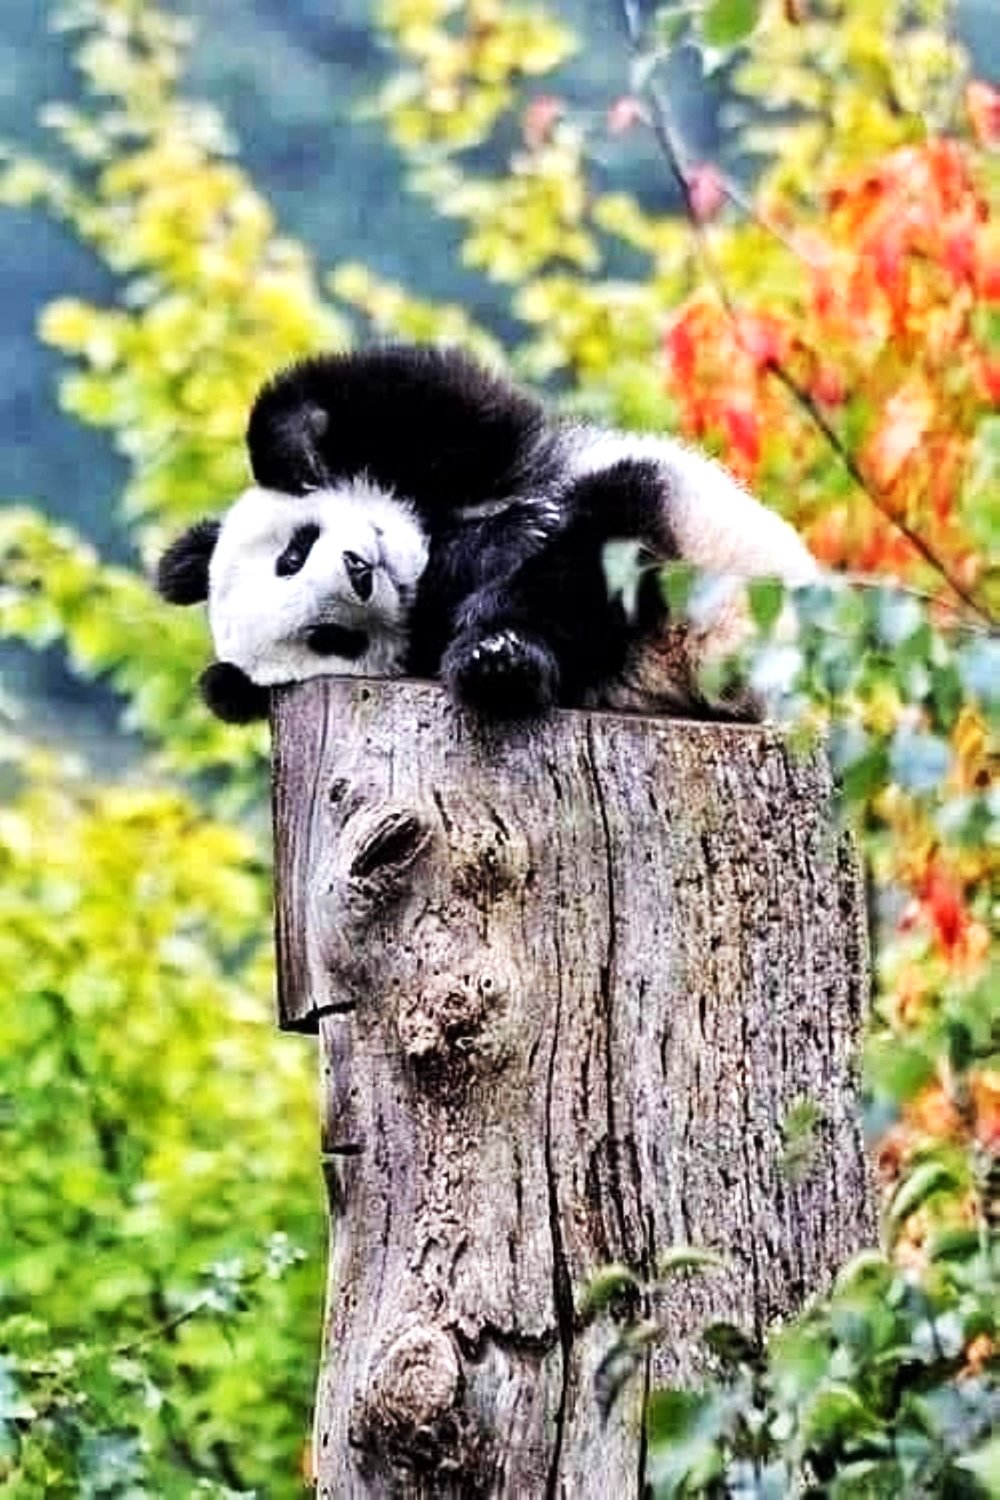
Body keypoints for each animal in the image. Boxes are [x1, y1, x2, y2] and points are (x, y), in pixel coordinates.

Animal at [156, 343, 817, 724]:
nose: (360, 573)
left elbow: (436, 401)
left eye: (292, 554)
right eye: (329, 638)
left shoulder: (491, 458)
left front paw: (295, 456)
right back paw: (498, 655)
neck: (429, 552)